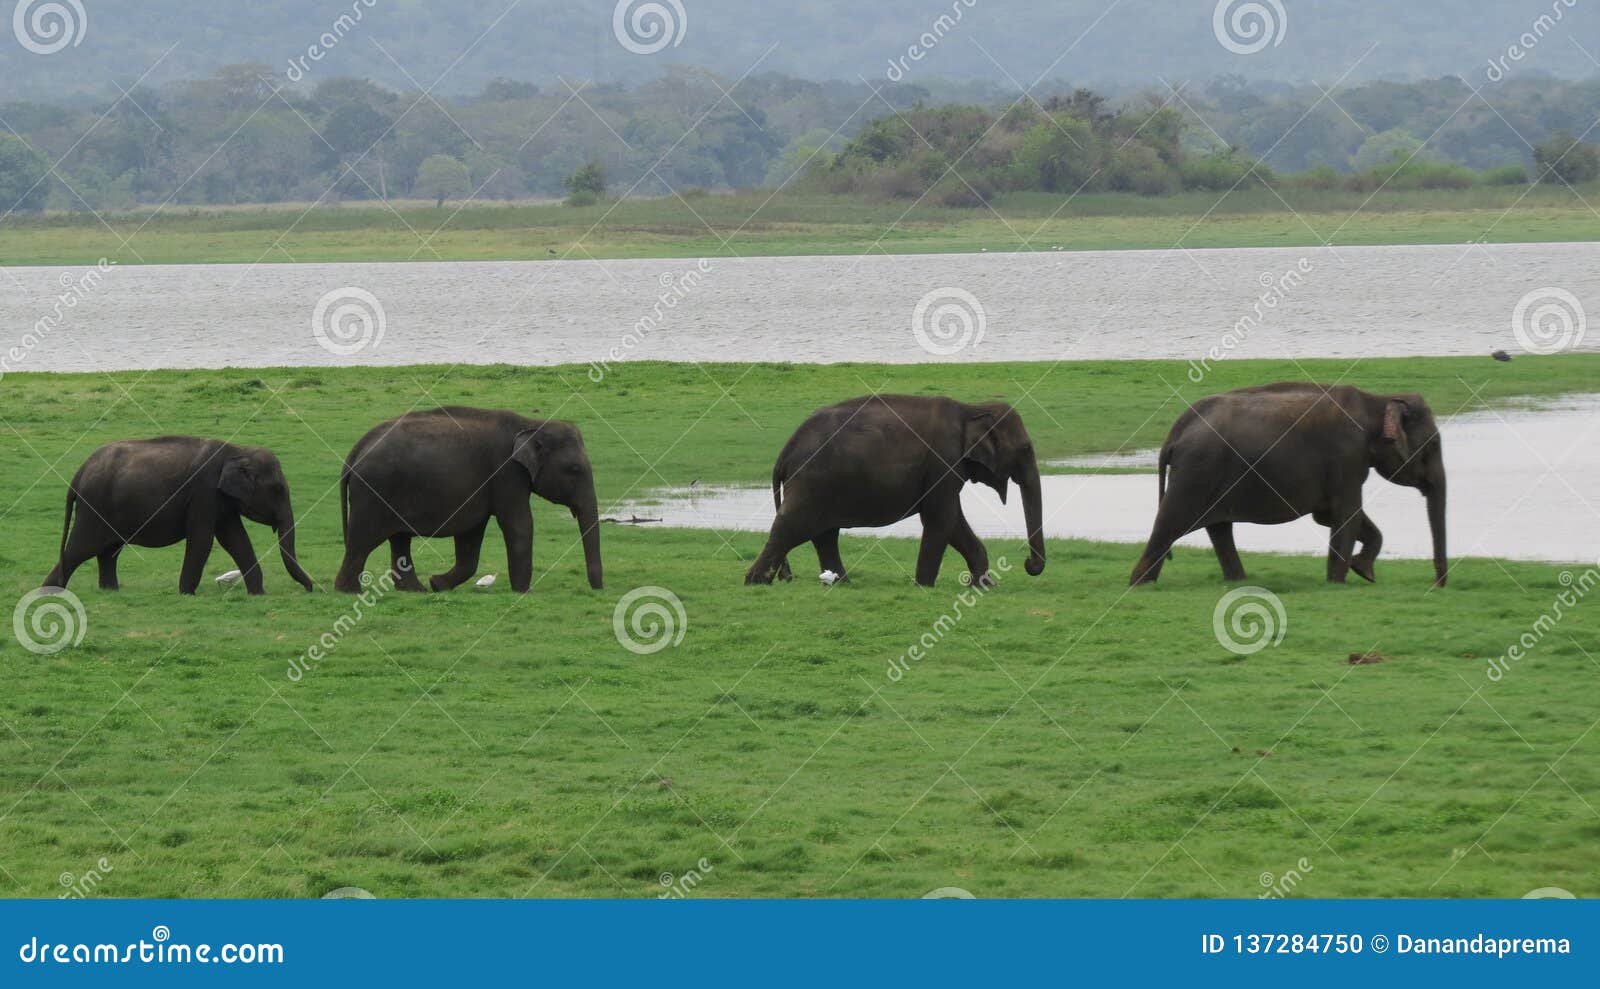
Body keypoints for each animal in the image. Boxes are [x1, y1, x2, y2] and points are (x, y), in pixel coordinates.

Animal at [42, 437, 316, 594]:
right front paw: (186, 593)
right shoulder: (204, 492)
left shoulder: (221, 501)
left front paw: (258, 594)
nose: (310, 588)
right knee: (81, 548)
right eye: (277, 490)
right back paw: (50, 591)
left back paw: (110, 591)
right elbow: (203, 540)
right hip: (94, 507)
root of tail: (79, 473)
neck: (238, 450)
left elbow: (235, 539)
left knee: (108, 551)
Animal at [334, 407, 603, 594]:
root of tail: (354, 452)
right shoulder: (506, 473)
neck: (531, 424)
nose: (598, 590)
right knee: (362, 541)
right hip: (373, 493)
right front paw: (523, 592)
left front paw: (437, 583)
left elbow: (471, 533)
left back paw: (416, 590)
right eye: (574, 469)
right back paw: (349, 591)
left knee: (399, 539)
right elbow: (519, 524)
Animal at [744, 394, 1047, 587]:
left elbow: (952, 521)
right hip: (811, 481)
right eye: (1025, 449)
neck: (970, 408)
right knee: (791, 527)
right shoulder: (943, 461)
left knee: (824, 535)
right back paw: (755, 582)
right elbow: (941, 519)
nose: (1028, 564)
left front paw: (984, 585)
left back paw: (842, 583)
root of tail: (784, 452)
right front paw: (924, 586)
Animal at [1129, 383, 1447, 587]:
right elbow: (1346, 516)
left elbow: (1331, 516)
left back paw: (1237, 581)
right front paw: (1339, 582)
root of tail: (1174, 433)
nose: (1437, 585)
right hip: (1197, 470)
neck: (1378, 400)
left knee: (1218, 529)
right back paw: (1140, 584)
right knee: (1168, 525)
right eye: (1432, 444)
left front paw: (1363, 572)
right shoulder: (1346, 456)